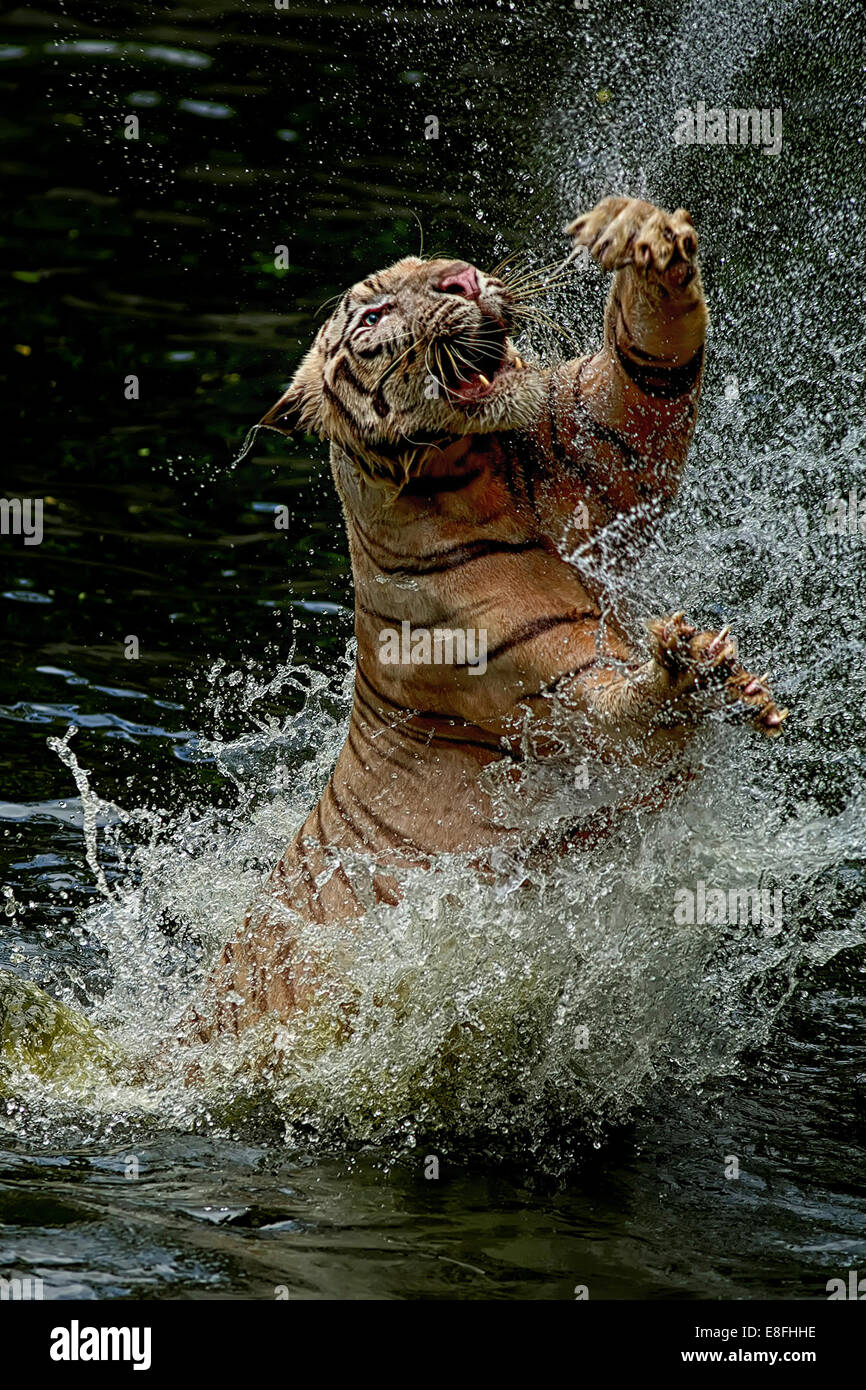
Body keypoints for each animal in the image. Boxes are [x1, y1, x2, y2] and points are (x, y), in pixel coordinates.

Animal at [187, 198, 783, 1045]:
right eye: (373, 315)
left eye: (431, 262)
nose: (461, 279)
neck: (478, 471)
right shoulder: (559, 707)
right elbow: (629, 716)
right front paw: (688, 667)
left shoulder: (608, 430)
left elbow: (651, 363)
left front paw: (639, 234)